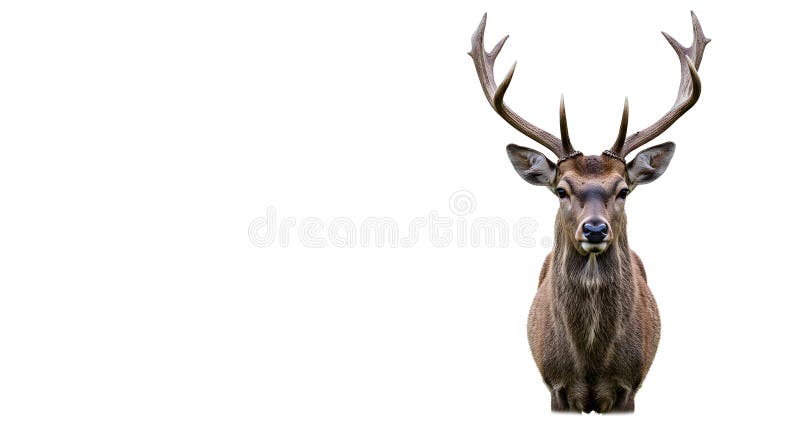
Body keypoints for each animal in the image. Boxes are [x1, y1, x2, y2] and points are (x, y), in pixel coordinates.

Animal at [468, 12, 709, 413]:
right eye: (561, 190)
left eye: (623, 190)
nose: (595, 230)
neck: (591, 360)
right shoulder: (555, 385)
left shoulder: (630, 385)